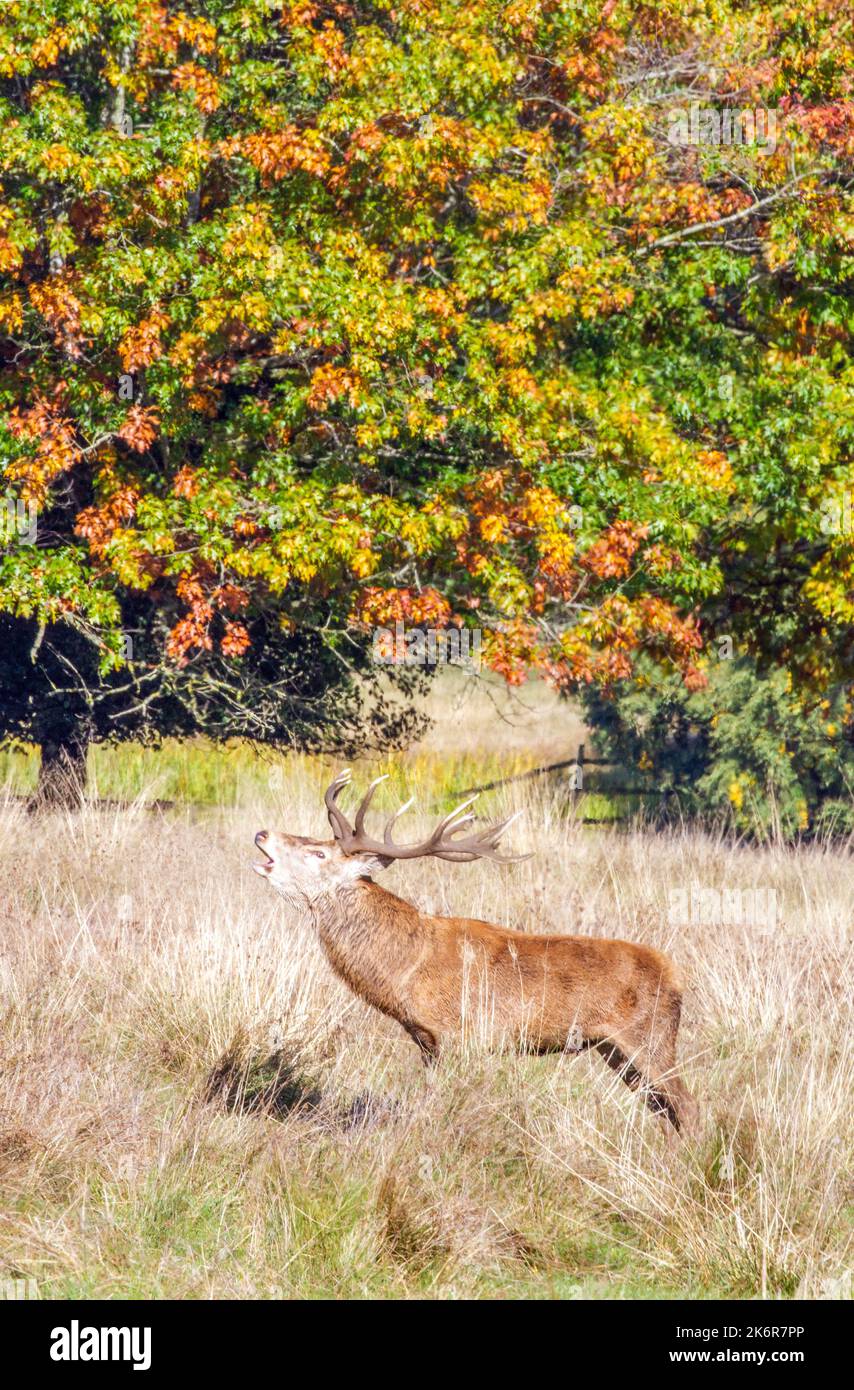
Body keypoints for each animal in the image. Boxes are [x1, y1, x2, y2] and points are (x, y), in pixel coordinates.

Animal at [253, 770, 698, 1136]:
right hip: (615, 1051)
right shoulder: (428, 1042)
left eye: (318, 854)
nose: (262, 834)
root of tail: (677, 975)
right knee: (663, 1111)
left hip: (652, 1037)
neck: (404, 972)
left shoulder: (459, 1034)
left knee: (687, 1104)